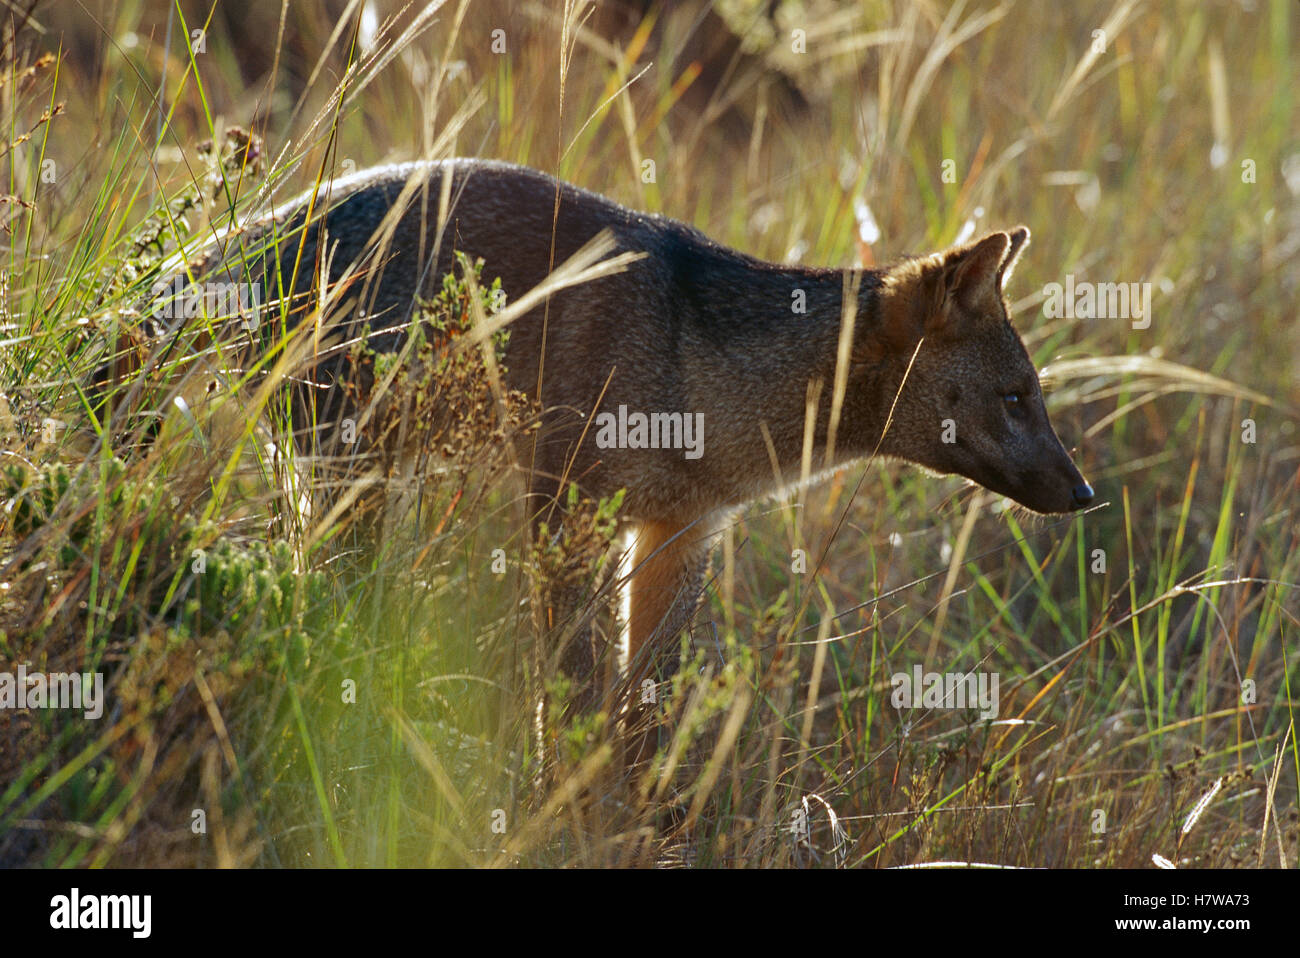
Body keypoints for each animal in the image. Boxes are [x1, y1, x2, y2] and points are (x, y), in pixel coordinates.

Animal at [98, 157, 1092, 749]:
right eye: (1018, 397)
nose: (1086, 495)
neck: (695, 369)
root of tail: (256, 232)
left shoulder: (678, 533)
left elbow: (643, 705)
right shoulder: (566, 509)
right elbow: (572, 694)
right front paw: (568, 808)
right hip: (358, 478)